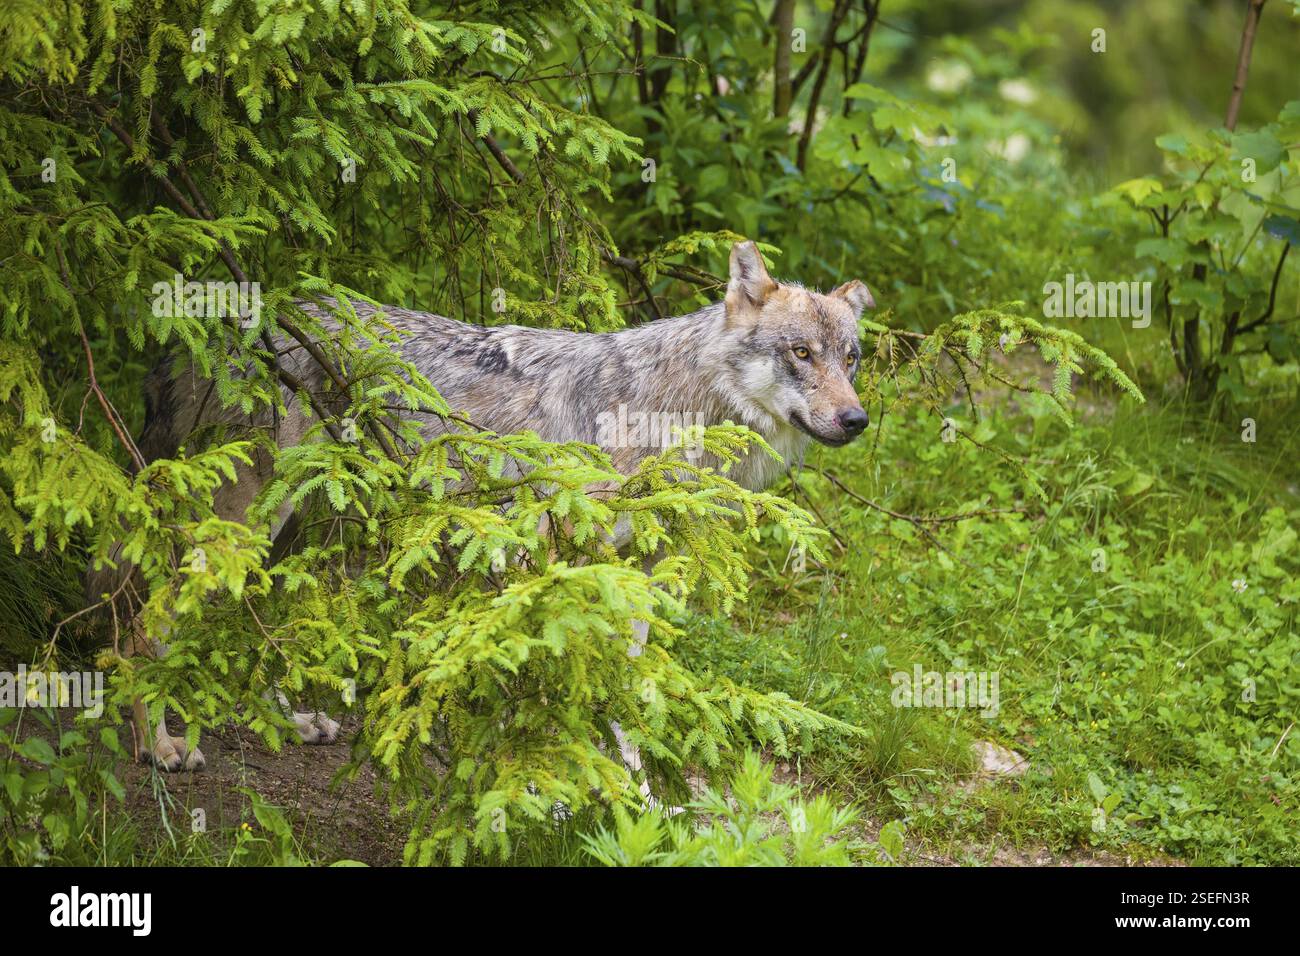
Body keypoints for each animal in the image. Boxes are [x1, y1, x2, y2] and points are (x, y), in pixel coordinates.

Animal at [96, 240, 874, 774]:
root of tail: (226, 325)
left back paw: (290, 721)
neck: (674, 413)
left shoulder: (637, 573)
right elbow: (548, 675)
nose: (857, 420)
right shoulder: (548, 549)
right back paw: (158, 746)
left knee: (256, 620)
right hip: (249, 520)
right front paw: (543, 775)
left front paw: (634, 789)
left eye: (851, 359)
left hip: (292, 527)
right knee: (142, 625)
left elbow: (624, 687)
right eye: (800, 353)